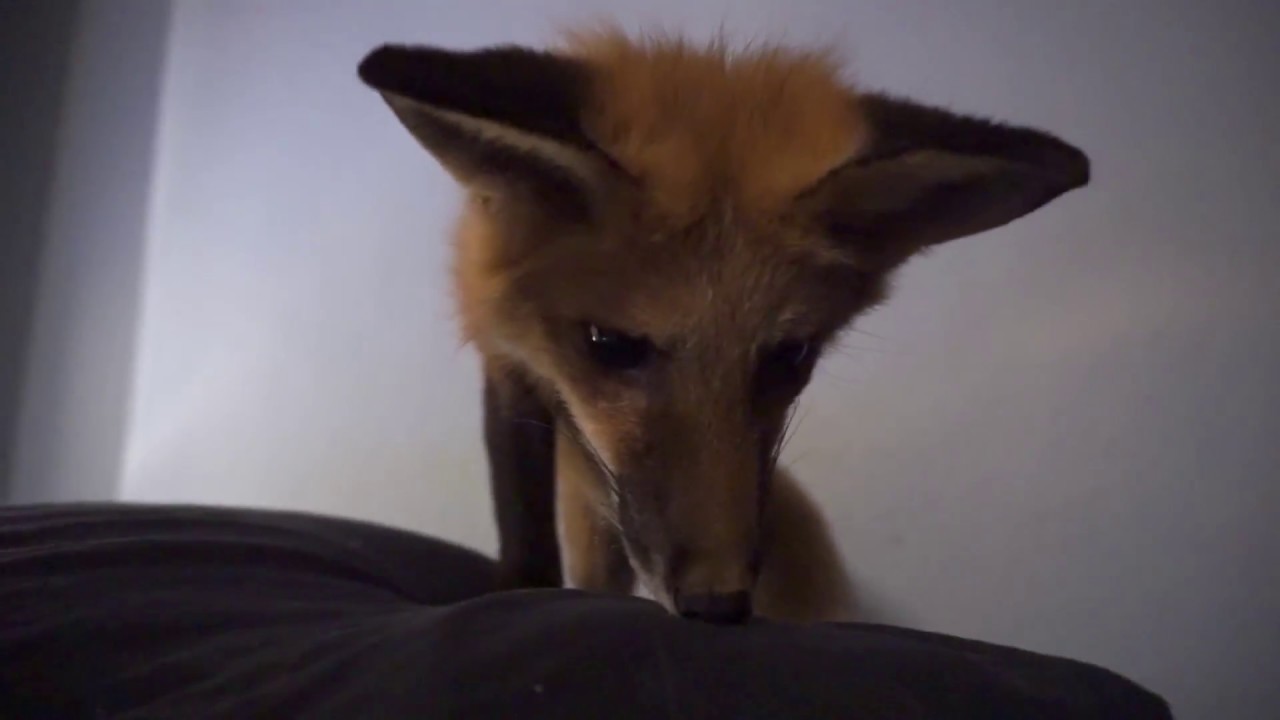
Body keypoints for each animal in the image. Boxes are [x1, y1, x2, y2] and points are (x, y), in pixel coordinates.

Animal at [357, 27, 1089, 625]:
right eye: (609, 346)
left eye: (792, 355)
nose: (721, 605)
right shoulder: (509, 363)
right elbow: (523, 509)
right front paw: (518, 589)